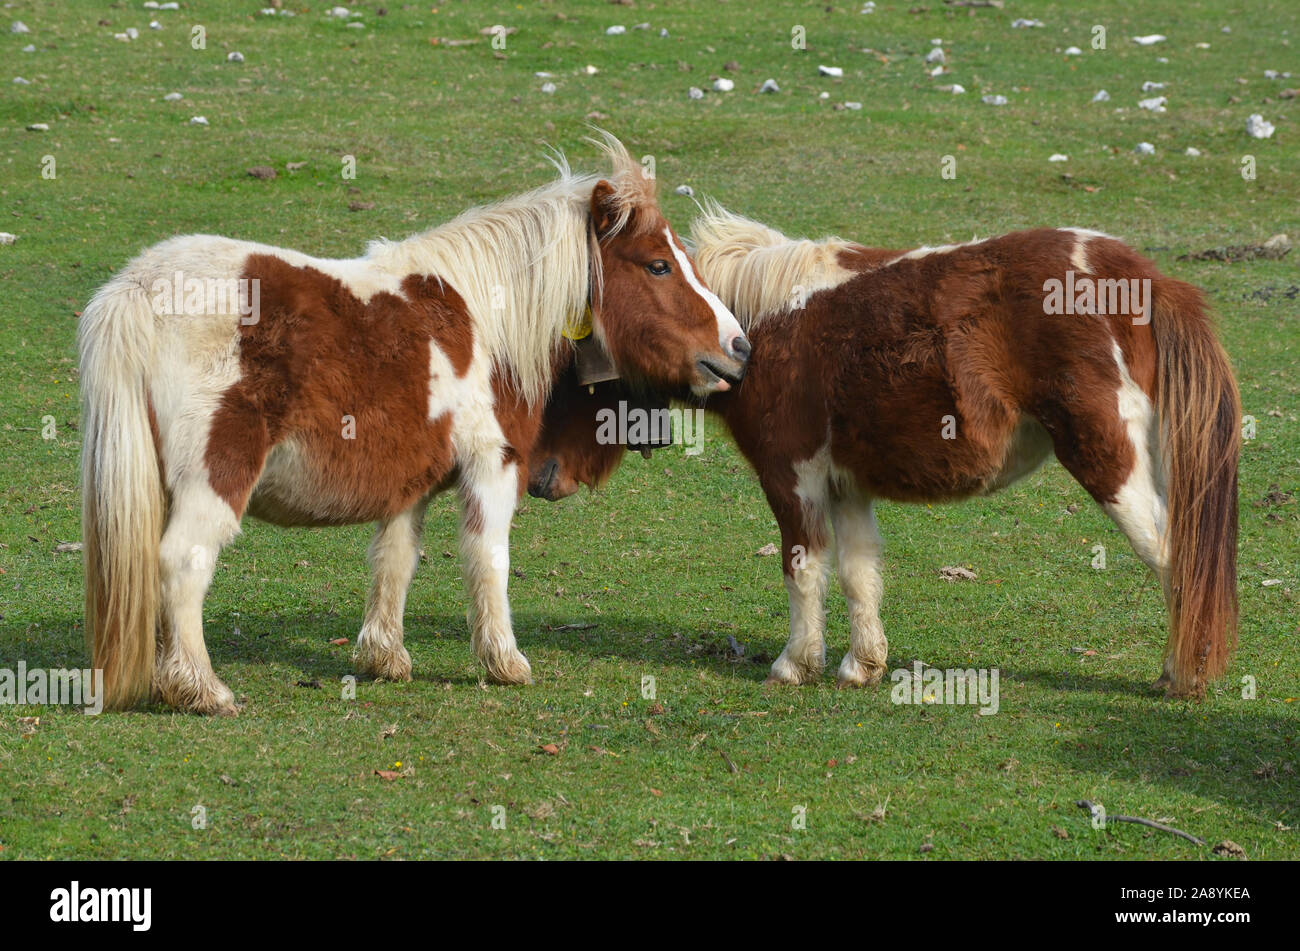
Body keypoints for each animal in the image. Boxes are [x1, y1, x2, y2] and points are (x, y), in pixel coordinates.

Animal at [78, 132, 749, 714]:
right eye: (658, 266)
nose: (739, 348)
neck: (489, 322)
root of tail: (138, 290)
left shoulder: (412, 483)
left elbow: (395, 559)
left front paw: (385, 657)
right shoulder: (493, 467)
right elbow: (487, 558)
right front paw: (504, 663)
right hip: (216, 477)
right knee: (181, 563)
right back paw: (200, 688)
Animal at [526, 202, 1241, 699]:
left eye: (568, 376)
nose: (537, 478)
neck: (752, 331)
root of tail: (1143, 279)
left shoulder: (792, 479)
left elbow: (803, 566)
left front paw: (795, 665)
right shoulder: (845, 487)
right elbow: (858, 572)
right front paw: (860, 665)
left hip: (1111, 459)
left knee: (1173, 557)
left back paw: (1182, 676)